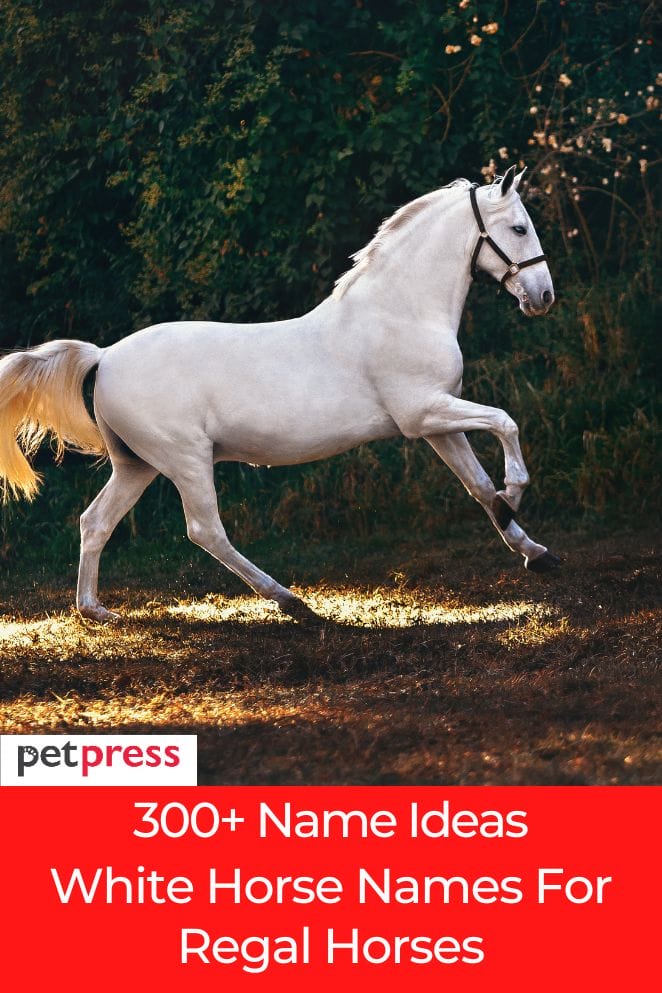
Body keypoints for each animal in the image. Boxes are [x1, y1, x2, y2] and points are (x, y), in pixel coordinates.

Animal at [0, 165, 559, 623]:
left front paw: (536, 552)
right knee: (205, 530)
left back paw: (95, 610)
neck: (401, 311)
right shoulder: (424, 414)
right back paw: (292, 602)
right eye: (518, 228)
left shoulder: (438, 424)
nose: (544, 296)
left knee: (94, 521)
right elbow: (505, 423)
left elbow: (478, 486)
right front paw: (515, 494)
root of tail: (106, 355)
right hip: (184, 459)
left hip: (136, 464)